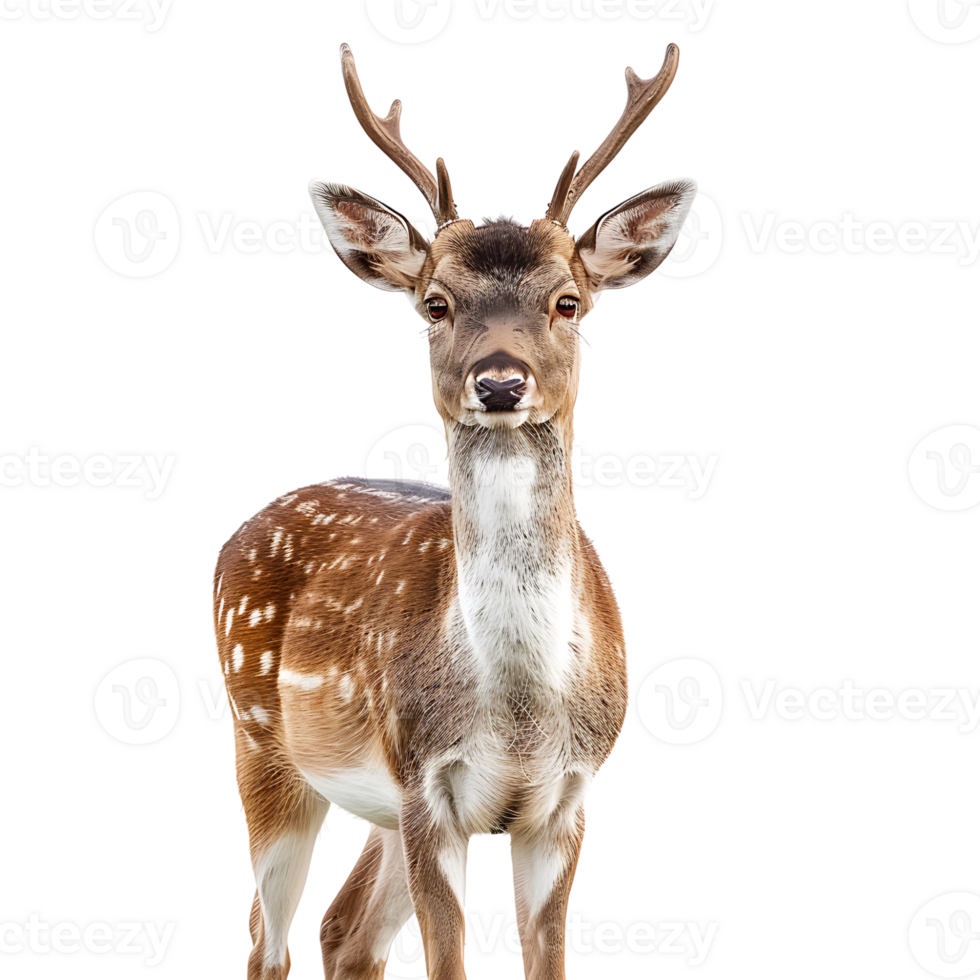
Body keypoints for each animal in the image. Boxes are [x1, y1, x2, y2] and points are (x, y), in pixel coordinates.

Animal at [211, 39, 697, 980]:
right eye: (435, 305)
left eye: (568, 302)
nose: (500, 380)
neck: (519, 716)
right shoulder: (428, 785)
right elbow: (446, 959)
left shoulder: (566, 802)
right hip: (262, 745)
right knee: (266, 938)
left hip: (372, 803)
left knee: (342, 928)